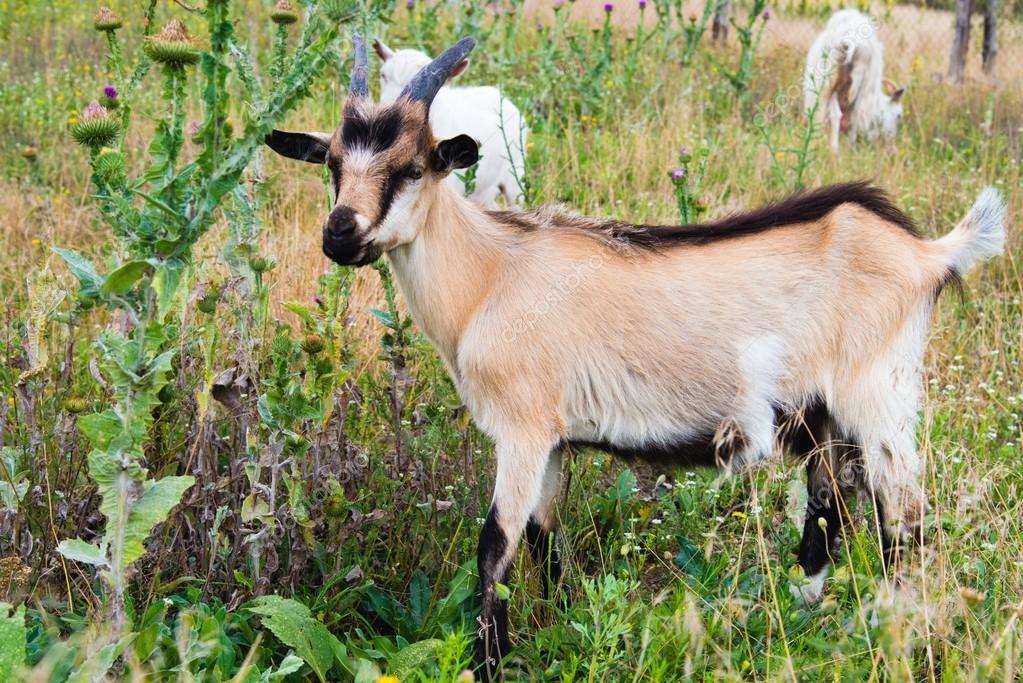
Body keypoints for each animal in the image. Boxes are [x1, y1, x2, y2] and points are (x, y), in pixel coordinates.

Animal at [804, 9, 906, 151]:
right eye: (899, 115)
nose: (891, 142)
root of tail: (848, 38)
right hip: (859, 82)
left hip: (828, 80)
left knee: (826, 113)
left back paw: (822, 146)